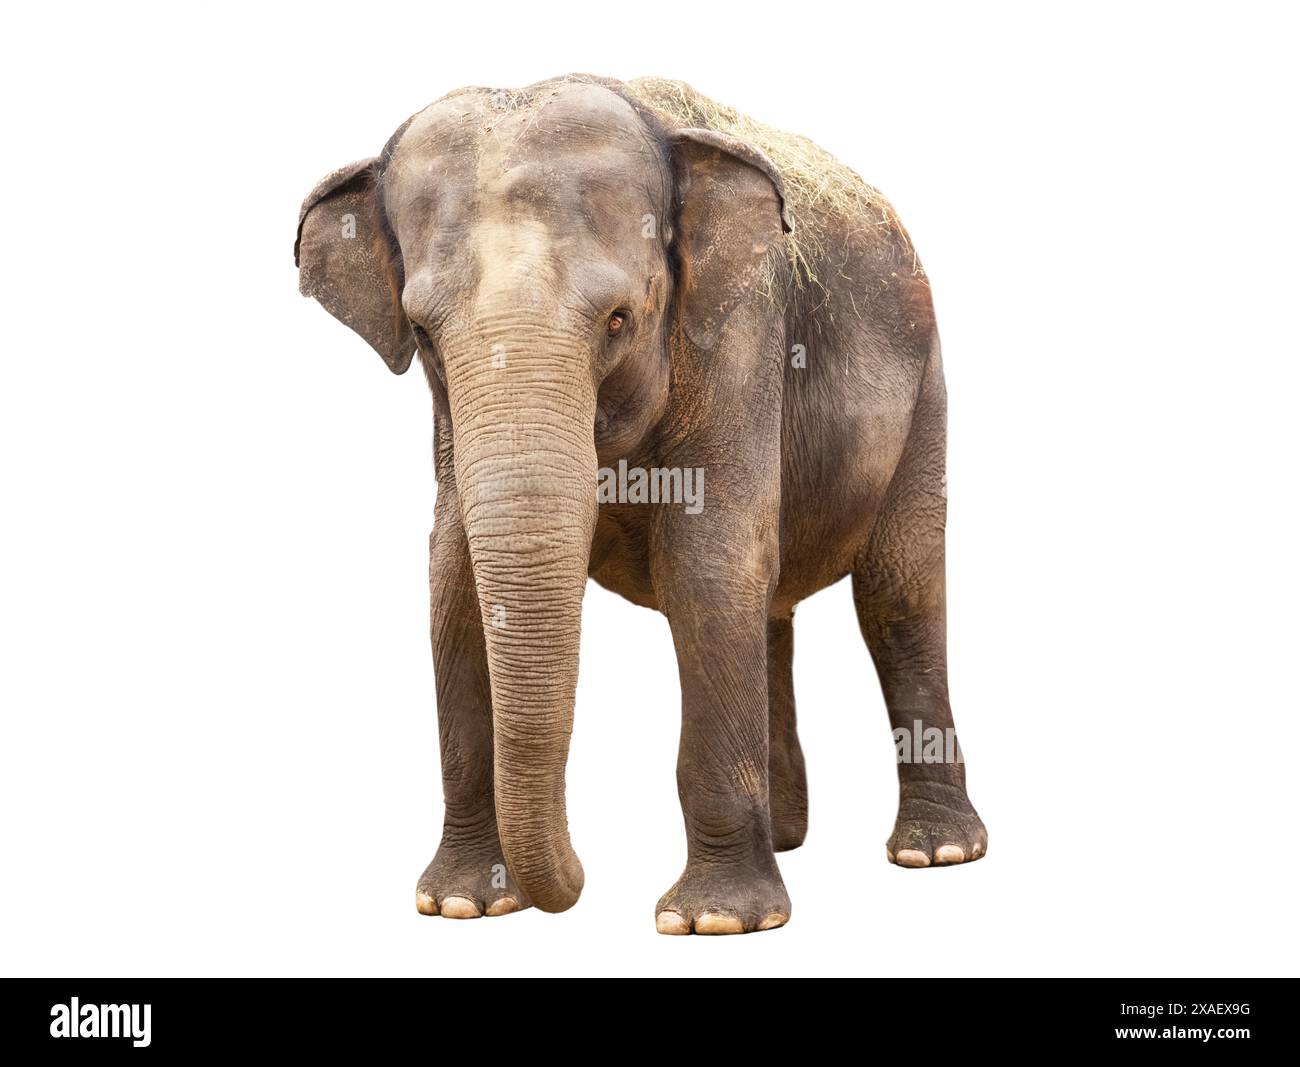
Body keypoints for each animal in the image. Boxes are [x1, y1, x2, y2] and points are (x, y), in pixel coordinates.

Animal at [294, 74, 986, 935]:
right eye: (421, 333)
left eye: (619, 318)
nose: (583, 879)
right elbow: (453, 579)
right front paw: (463, 903)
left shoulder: (741, 334)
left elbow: (706, 566)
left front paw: (714, 921)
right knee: (772, 606)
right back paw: (788, 838)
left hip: (928, 388)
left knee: (898, 595)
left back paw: (937, 852)